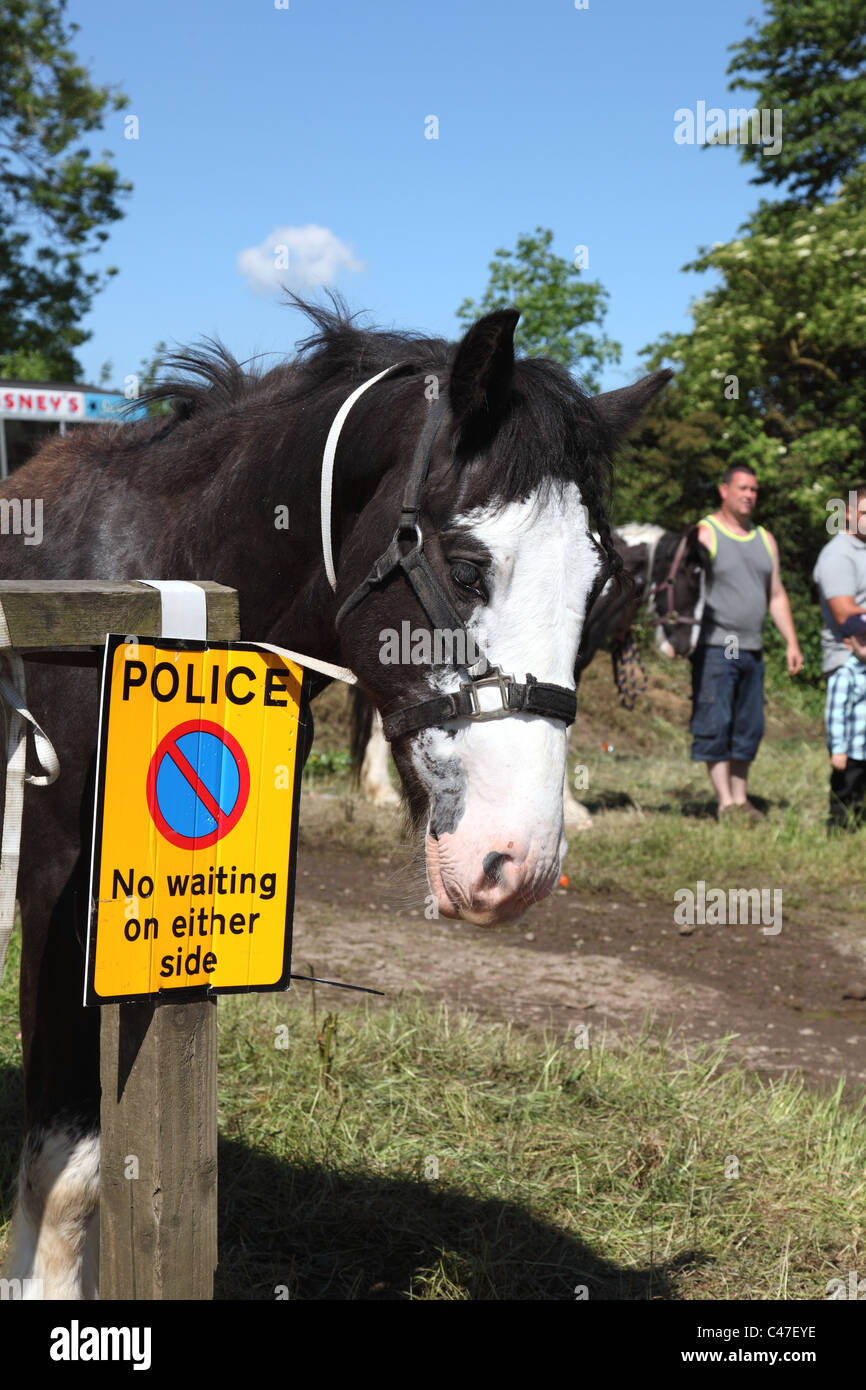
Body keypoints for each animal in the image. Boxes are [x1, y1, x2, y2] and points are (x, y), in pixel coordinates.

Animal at [0, 296, 671, 1297]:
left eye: (599, 587)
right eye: (466, 568)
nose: (518, 863)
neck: (150, 584)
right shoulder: (53, 879)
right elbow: (59, 1153)